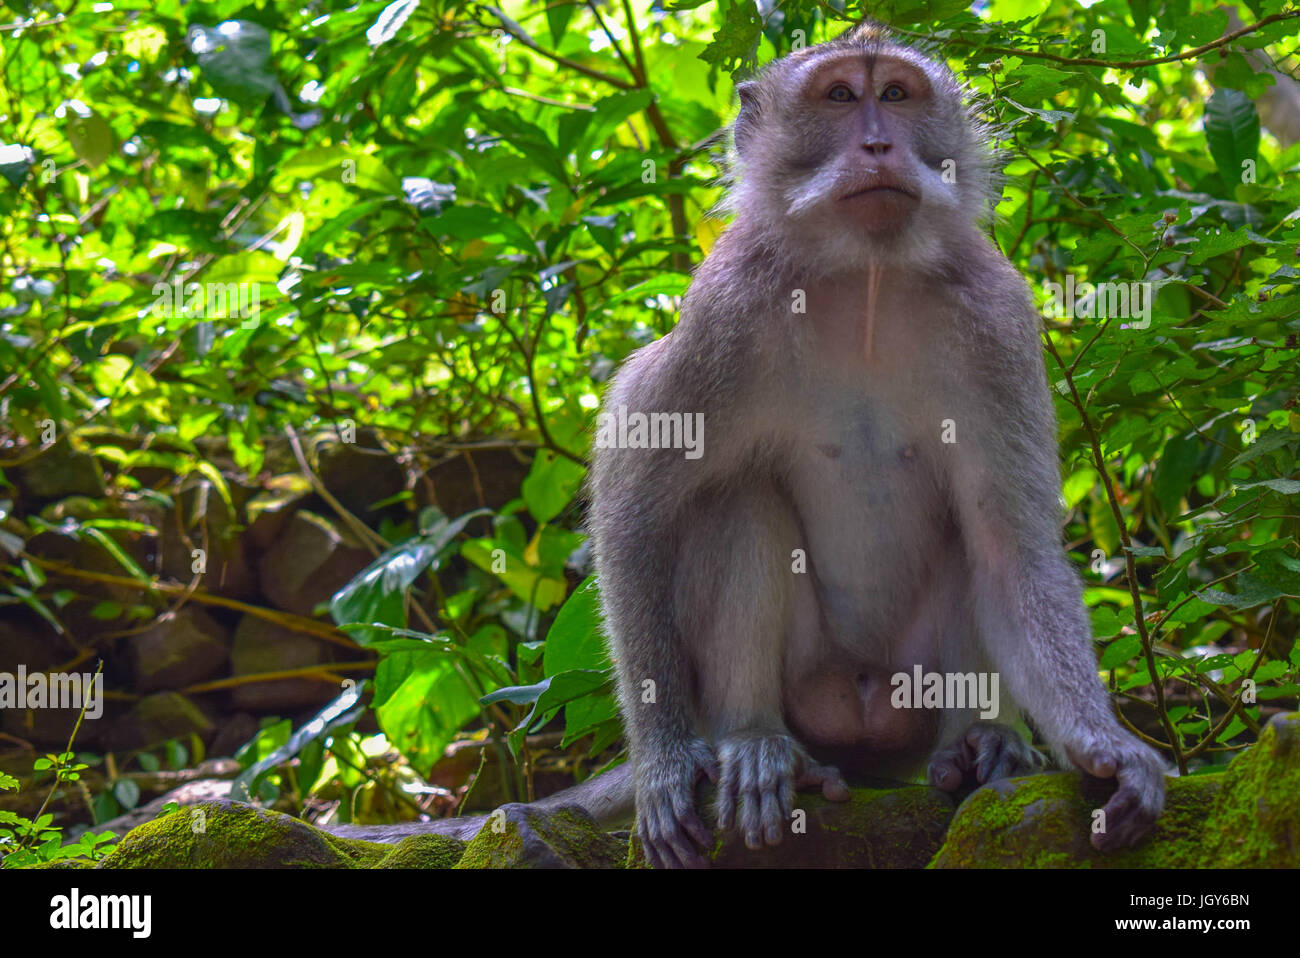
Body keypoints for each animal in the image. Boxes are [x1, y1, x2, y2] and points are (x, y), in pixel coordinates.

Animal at [585, 22, 1167, 869]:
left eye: (894, 94)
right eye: (839, 96)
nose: (877, 144)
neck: (865, 275)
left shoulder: (998, 316)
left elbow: (1013, 546)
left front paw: (1107, 748)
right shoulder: (726, 310)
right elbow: (636, 501)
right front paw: (664, 760)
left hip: (906, 700)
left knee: (970, 540)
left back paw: (978, 748)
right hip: (809, 687)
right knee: (738, 500)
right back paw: (756, 744)